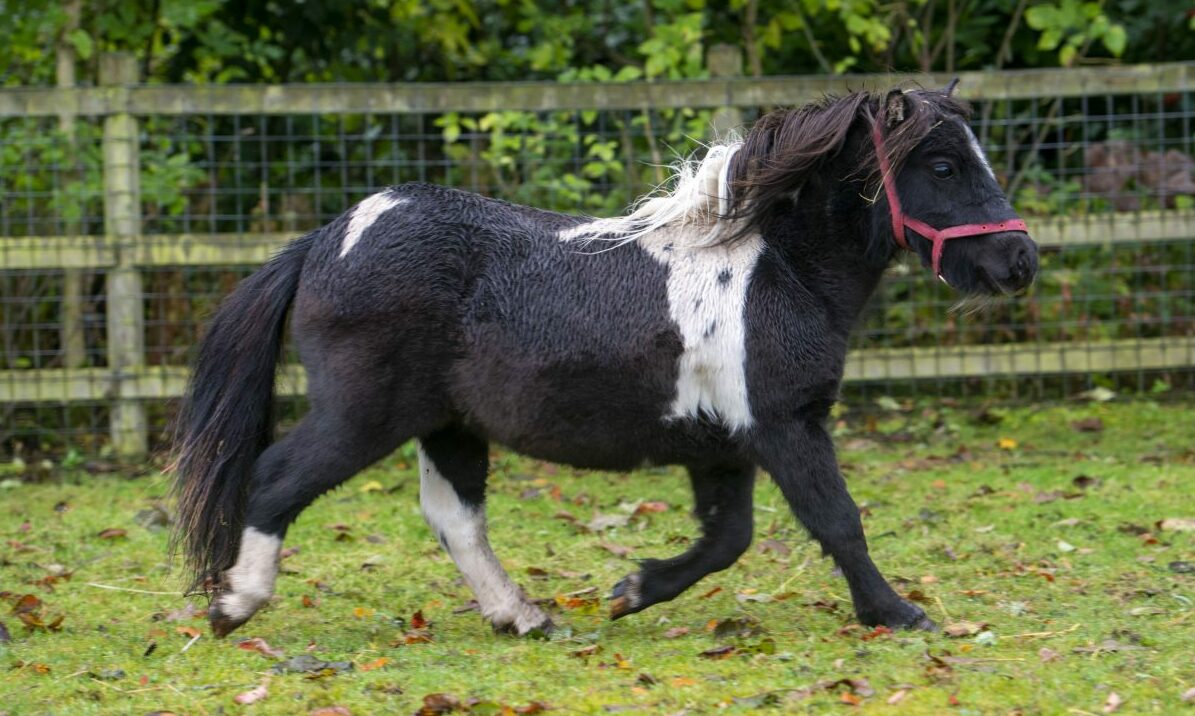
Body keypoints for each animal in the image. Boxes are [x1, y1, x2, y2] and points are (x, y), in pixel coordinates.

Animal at [173, 85, 1037, 639]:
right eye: (942, 166)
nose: (1019, 261)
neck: (776, 270)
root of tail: (328, 238)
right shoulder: (786, 426)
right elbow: (837, 522)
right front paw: (898, 613)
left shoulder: (724, 445)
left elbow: (729, 539)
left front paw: (631, 591)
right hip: (362, 413)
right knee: (277, 479)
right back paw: (233, 606)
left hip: (446, 423)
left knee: (455, 517)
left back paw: (524, 617)